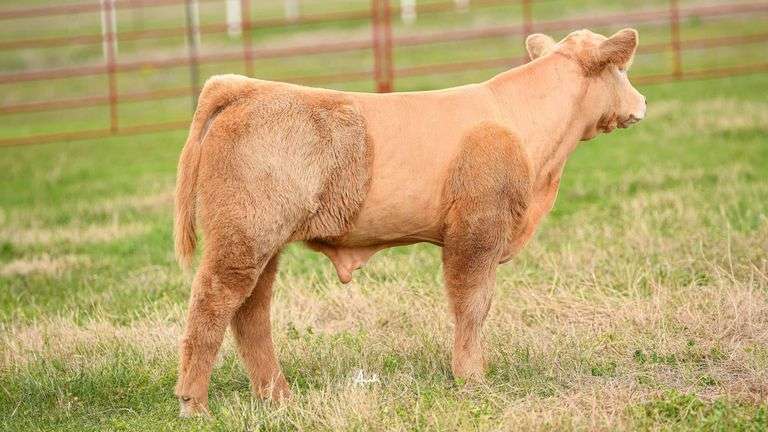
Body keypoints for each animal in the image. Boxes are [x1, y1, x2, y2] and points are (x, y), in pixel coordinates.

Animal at [172, 28, 646, 416]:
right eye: (622, 69)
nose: (642, 102)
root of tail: (246, 87)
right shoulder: (477, 230)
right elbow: (473, 303)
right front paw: (472, 377)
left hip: (262, 244)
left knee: (251, 312)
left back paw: (278, 396)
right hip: (244, 238)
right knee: (213, 303)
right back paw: (195, 404)